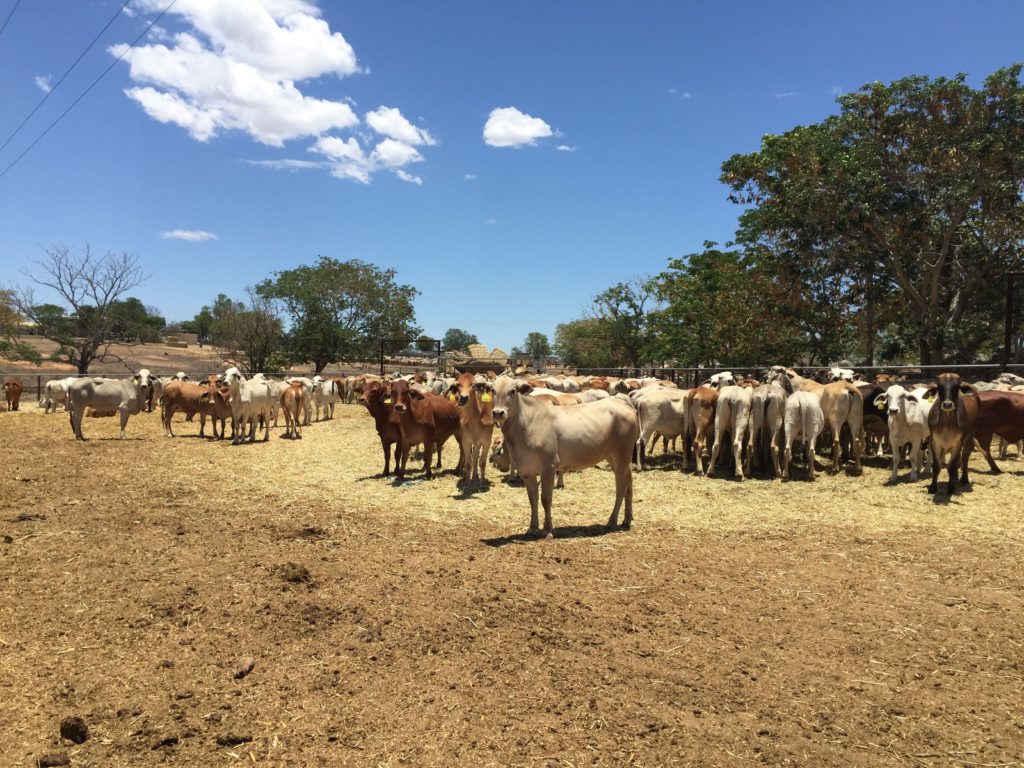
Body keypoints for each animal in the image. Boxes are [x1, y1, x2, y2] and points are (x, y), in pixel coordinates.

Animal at [490, 377, 639, 538]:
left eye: (513, 390)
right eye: (492, 390)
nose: (498, 413)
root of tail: (620, 401)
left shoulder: (548, 467)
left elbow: (546, 499)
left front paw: (547, 530)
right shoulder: (527, 471)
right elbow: (532, 499)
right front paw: (532, 528)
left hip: (622, 453)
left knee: (622, 486)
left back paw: (612, 521)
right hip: (614, 456)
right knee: (629, 483)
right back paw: (627, 520)